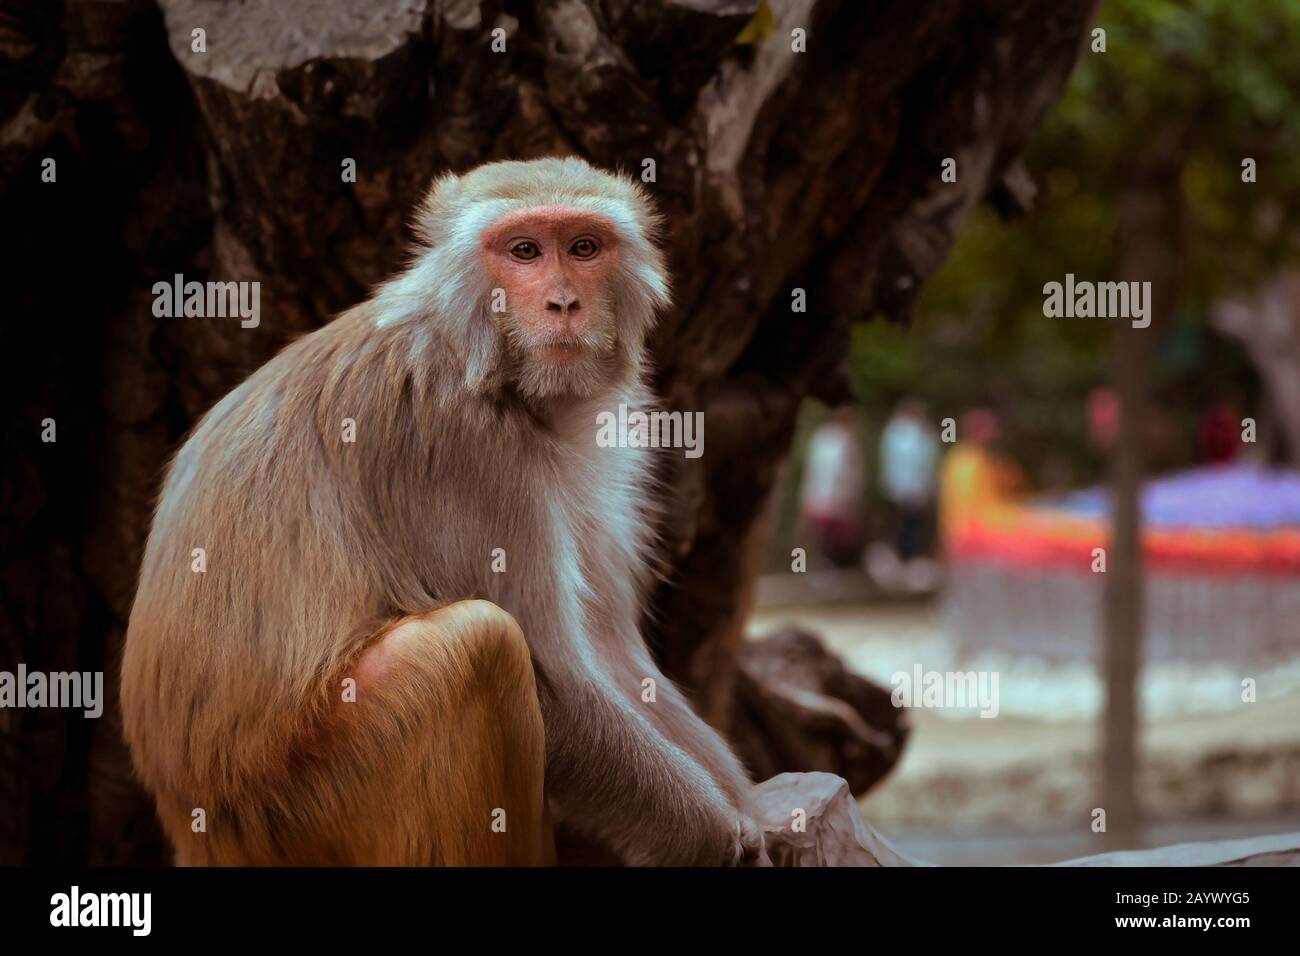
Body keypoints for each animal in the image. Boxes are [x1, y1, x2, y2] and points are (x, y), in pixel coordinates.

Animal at [120, 156, 767, 866]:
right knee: (479, 647)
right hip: (306, 795)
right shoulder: (462, 444)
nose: (563, 302)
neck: (484, 361)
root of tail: (194, 824)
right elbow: (561, 688)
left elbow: (616, 658)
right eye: (524, 252)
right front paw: (721, 838)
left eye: (584, 248)